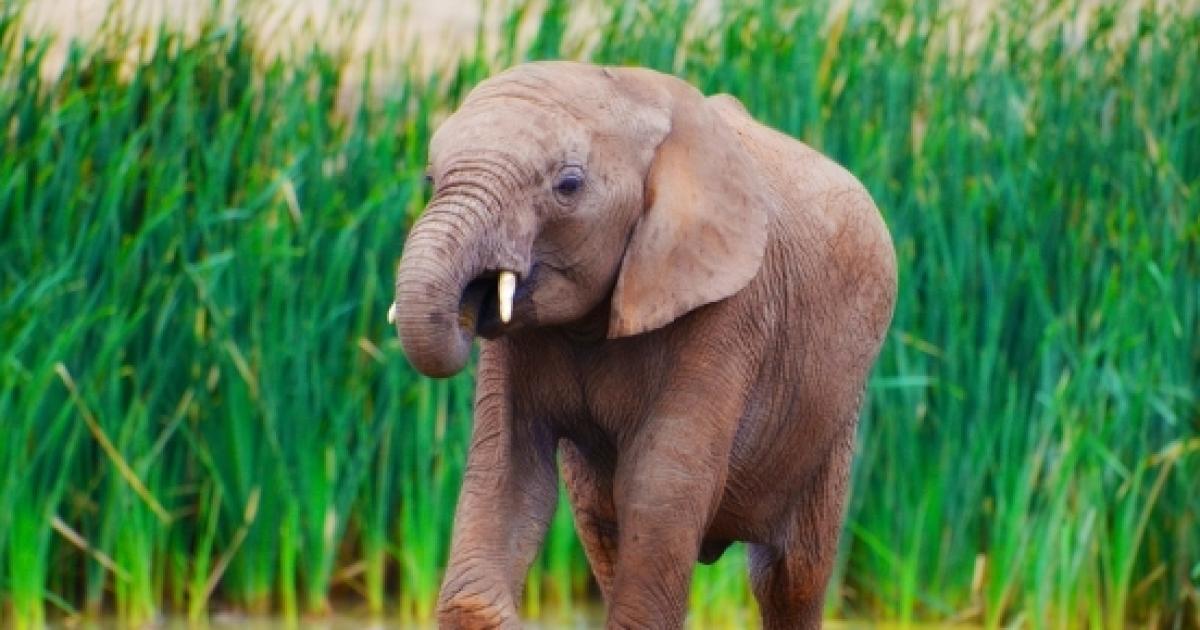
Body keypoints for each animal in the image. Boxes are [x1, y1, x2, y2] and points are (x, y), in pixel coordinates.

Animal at [389, 61, 897, 629]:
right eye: (430, 180)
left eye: (568, 184)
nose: (467, 303)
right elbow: (507, 469)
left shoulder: (728, 307)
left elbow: (661, 483)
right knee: (603, 529)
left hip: (834, 417)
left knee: (792, 577)